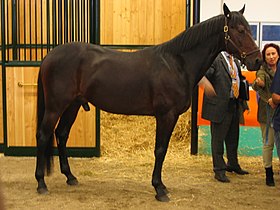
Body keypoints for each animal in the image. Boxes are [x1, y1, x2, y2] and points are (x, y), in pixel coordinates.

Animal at [35, 4, 262, 202]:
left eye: (249, 29)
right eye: (240, 30)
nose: (257, 60)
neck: (176, 64)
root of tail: (49, 56)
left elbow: (163, 150)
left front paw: (161, 186)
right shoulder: (165, 115)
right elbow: (160, 150)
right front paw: (159, 189)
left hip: (72, 105)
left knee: (61, 134)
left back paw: (70, 177)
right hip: (55, 107)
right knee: (44, 135)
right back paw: (41, 183)